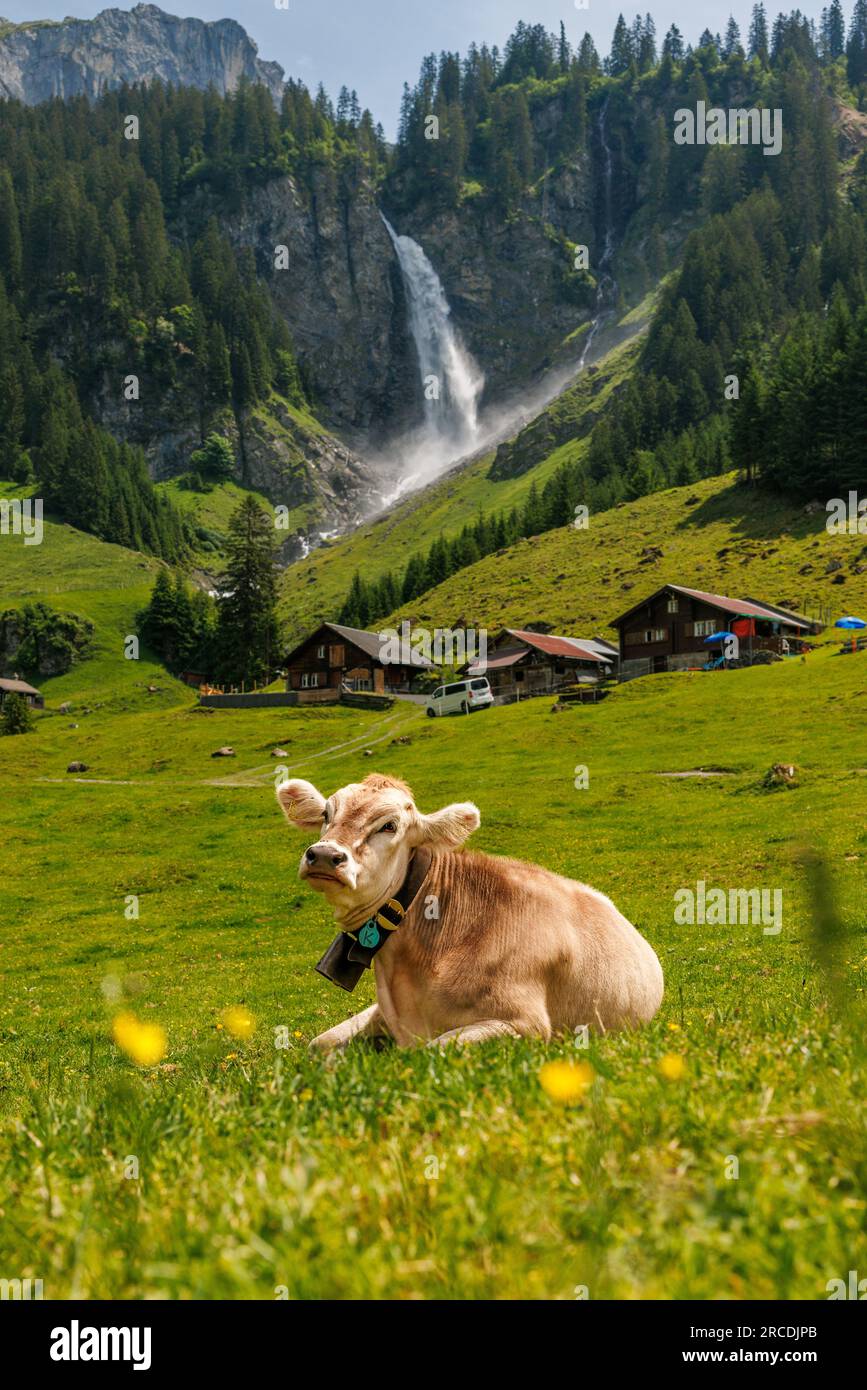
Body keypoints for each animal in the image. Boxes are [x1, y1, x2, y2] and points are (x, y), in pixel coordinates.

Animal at [276, 773, 663, 1051]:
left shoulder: (526, 1024)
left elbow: (432, 1050)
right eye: (326, 815)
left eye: (389, 825)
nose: (324, 855)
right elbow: (318, 1045)